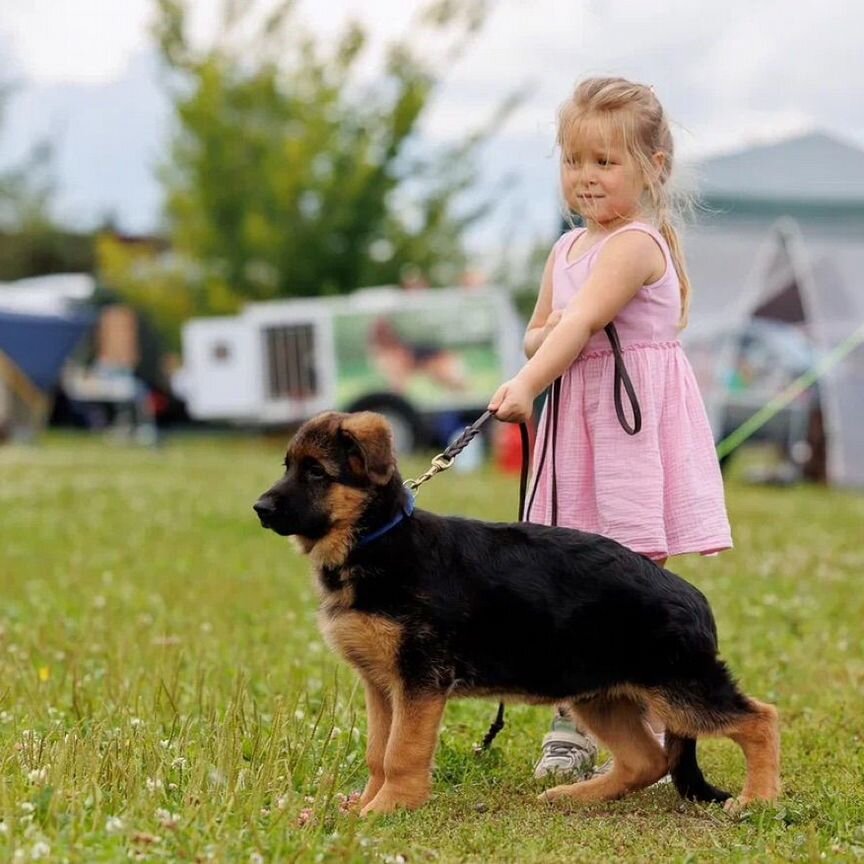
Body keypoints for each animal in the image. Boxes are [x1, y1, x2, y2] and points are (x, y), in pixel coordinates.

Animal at [253, 412, 780, 816]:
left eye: (317, 473)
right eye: (288, 466)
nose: (259, 508)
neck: (376, 538)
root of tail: (693, 598)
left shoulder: (419, 683)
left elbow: (401, 752)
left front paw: (387, 809)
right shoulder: (383, 686)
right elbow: (377, 753)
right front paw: (365, 805)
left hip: (678, 688)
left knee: (760, 719)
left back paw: (759, 800)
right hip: (600, 694)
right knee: (646, 760)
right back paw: (577, 795)